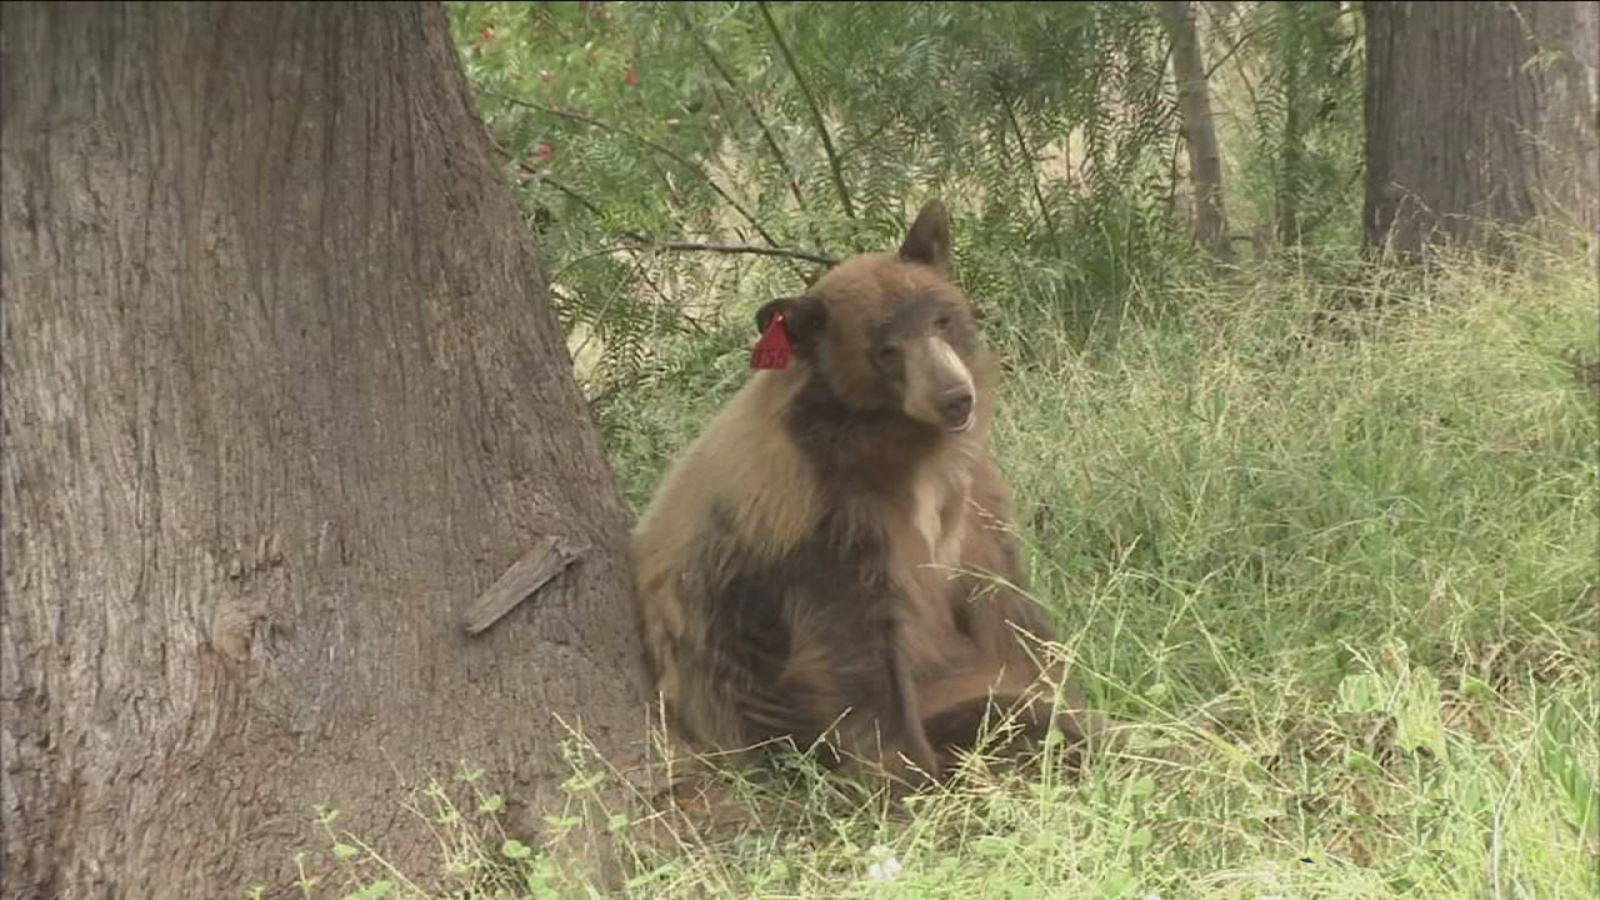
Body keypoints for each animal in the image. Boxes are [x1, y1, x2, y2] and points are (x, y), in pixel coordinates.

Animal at [632, 199, 1100, 789]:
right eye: (885, 350)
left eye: (942, 318)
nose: (955, 398)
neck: (903, 454)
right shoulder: (821, 526)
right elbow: (855, 659)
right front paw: (910, 778)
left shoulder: (971, 502)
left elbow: (1008, 611)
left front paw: (1072, 700)